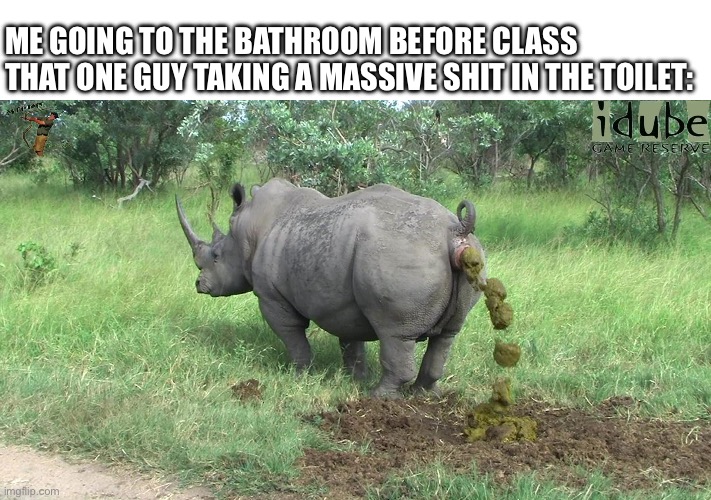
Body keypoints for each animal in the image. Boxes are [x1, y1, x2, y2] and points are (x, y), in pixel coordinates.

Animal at [177, 178, 487, 398]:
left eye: (216, 256)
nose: (199, 285)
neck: (247, 232)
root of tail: (455, 231)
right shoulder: (343, 300)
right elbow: (351, 339)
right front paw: (353, 378)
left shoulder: (271, 296)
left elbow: (292, 335)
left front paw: (299, 375)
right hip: (465, 255)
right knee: (447, 335)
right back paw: (424, 394)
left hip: (400, 252)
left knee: (395, 334)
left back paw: (378, 397)